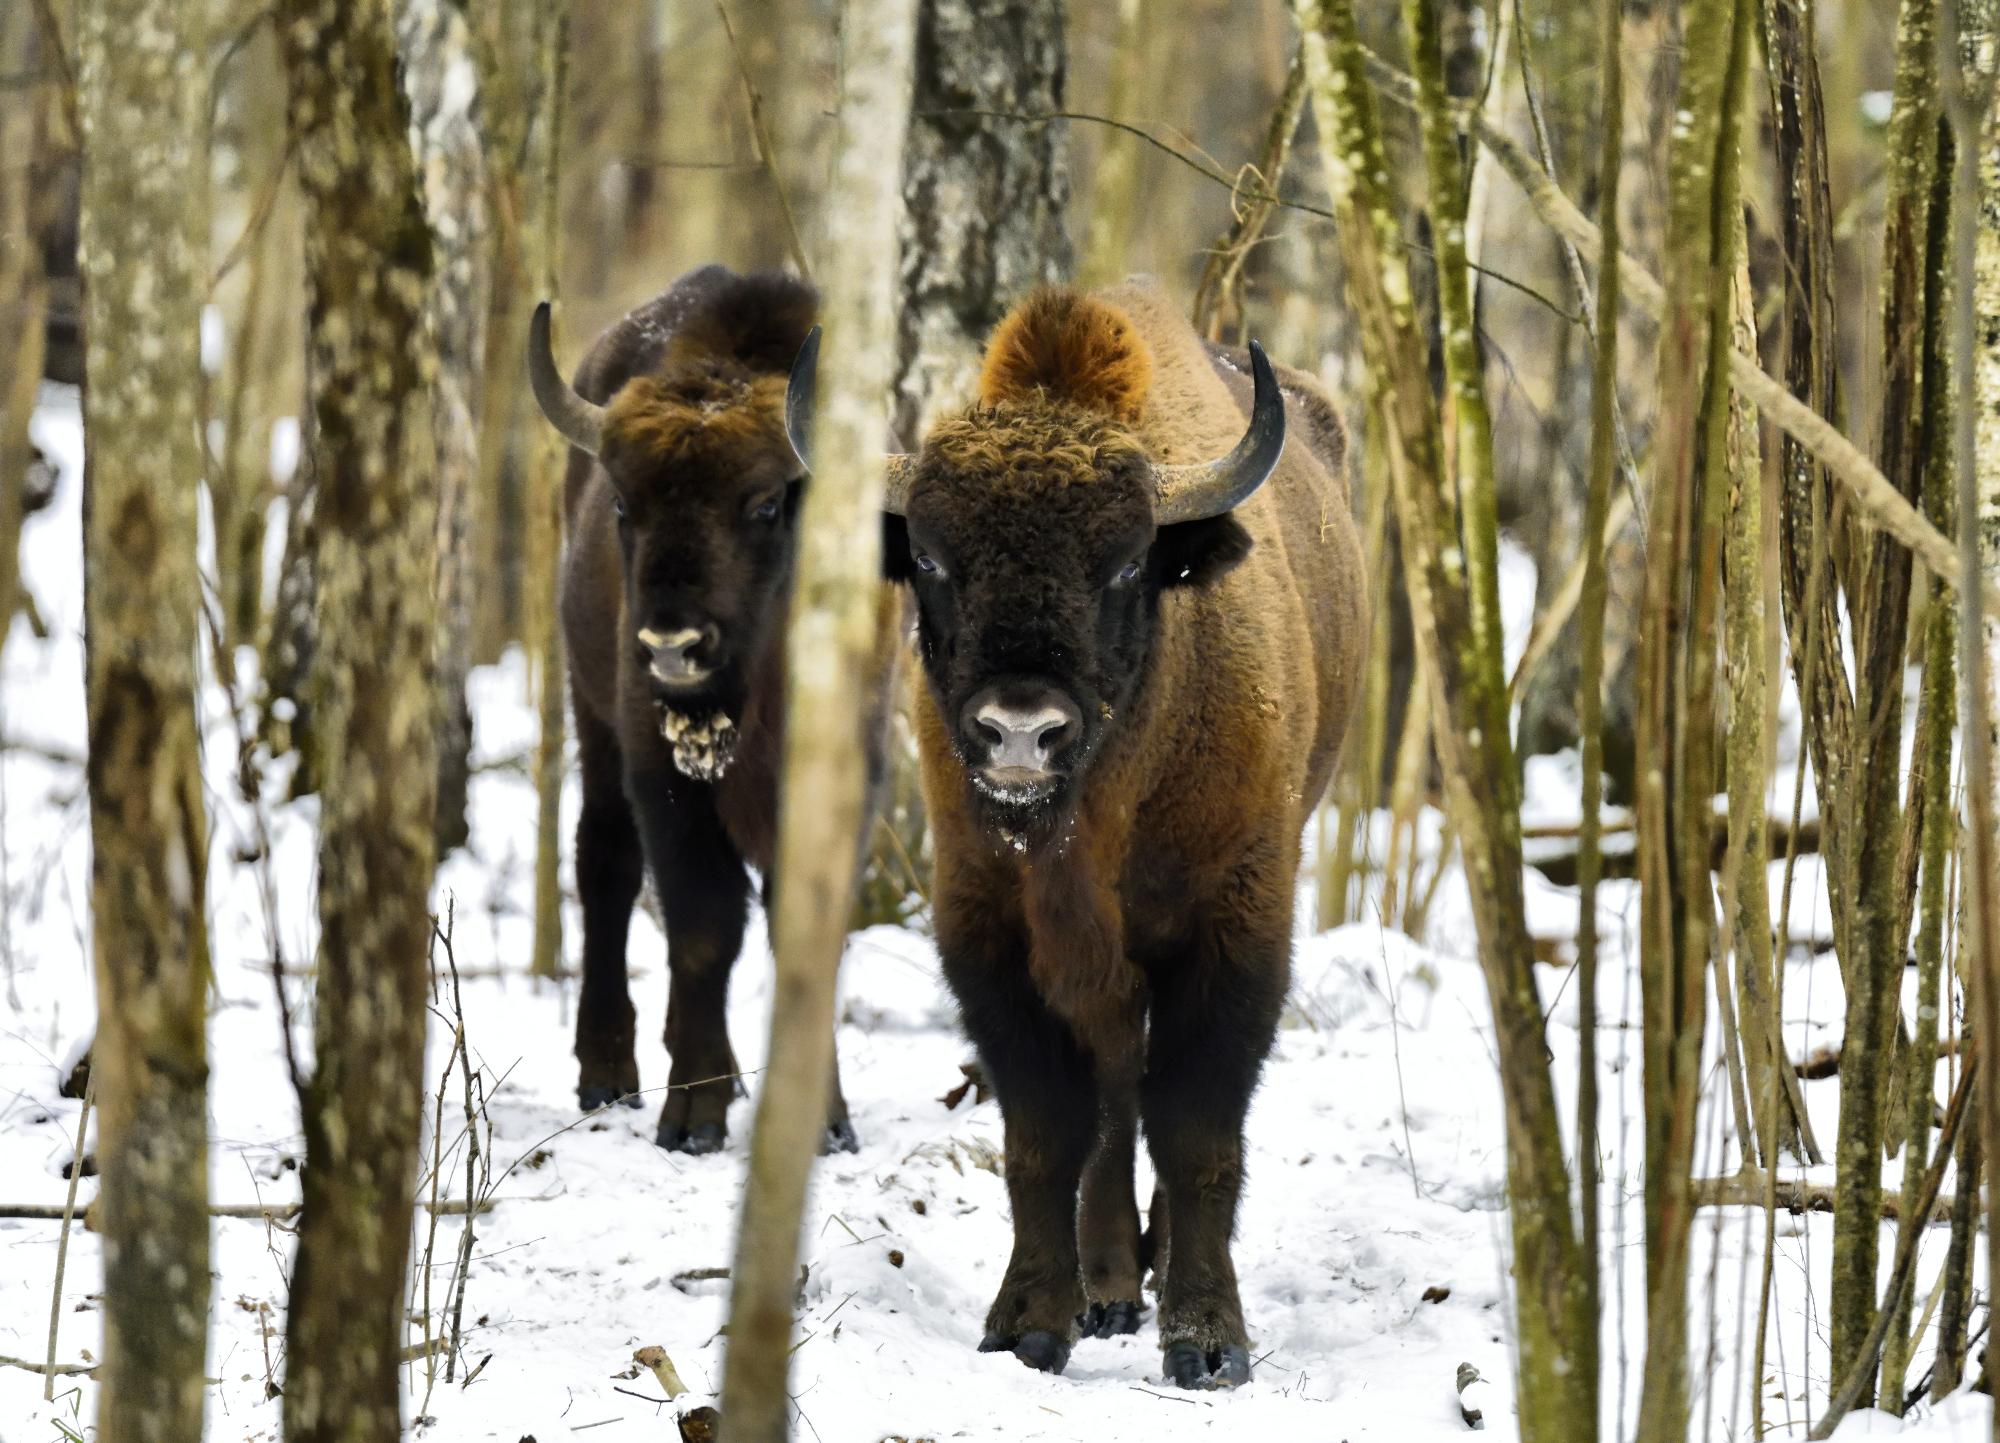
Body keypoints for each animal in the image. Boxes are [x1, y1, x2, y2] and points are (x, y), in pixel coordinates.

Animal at [532, 267, 908, 1143]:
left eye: (765, 503)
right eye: (624, 505)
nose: (672, 643)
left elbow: (803, 926)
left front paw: (825, 1120)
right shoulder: (663, 776)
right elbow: (704, 927)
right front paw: (694, 1114)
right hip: (595, 717)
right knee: (605, 861)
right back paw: (608, 1073)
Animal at [884, 277, 1368, 1383]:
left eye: (1121, 565)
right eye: (929, 556)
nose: (1020, 728)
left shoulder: (1236, 926)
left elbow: (1194, 1126)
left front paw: (1208, 1340)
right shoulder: (988, 935)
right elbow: (1047, 1128)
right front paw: (1031, 1319)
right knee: (1110, 1091)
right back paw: (1107, 1284)